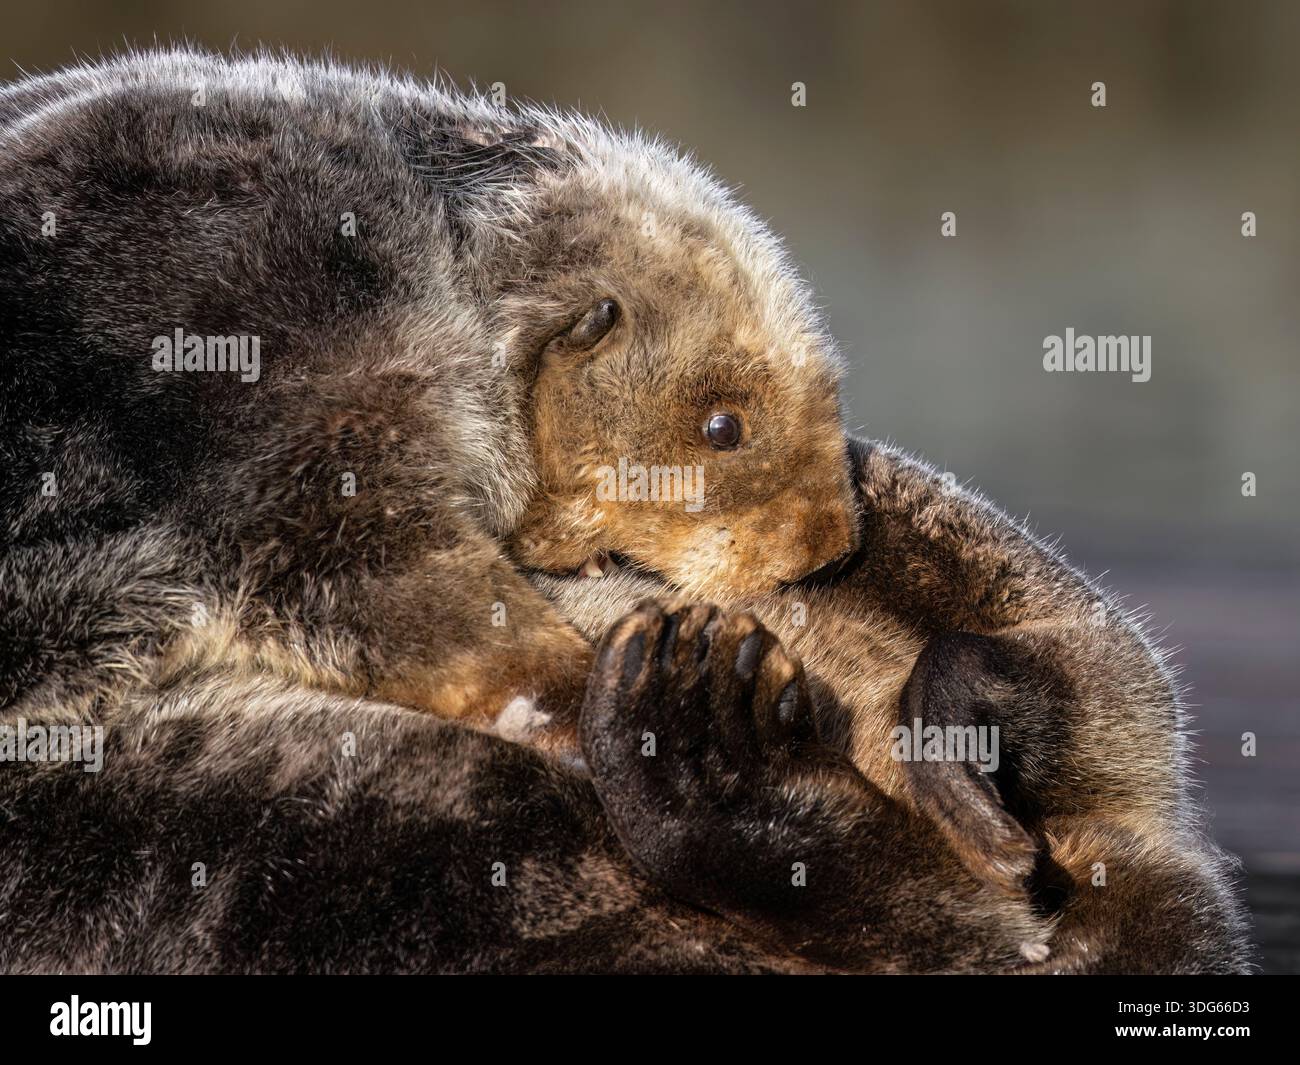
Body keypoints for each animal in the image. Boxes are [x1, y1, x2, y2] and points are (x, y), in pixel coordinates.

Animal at [0, 51, 855, 748]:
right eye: (724, 426)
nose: (834, 545)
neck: (446, 253)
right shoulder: (318, 404)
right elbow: (400, 585)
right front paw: (610, 693)